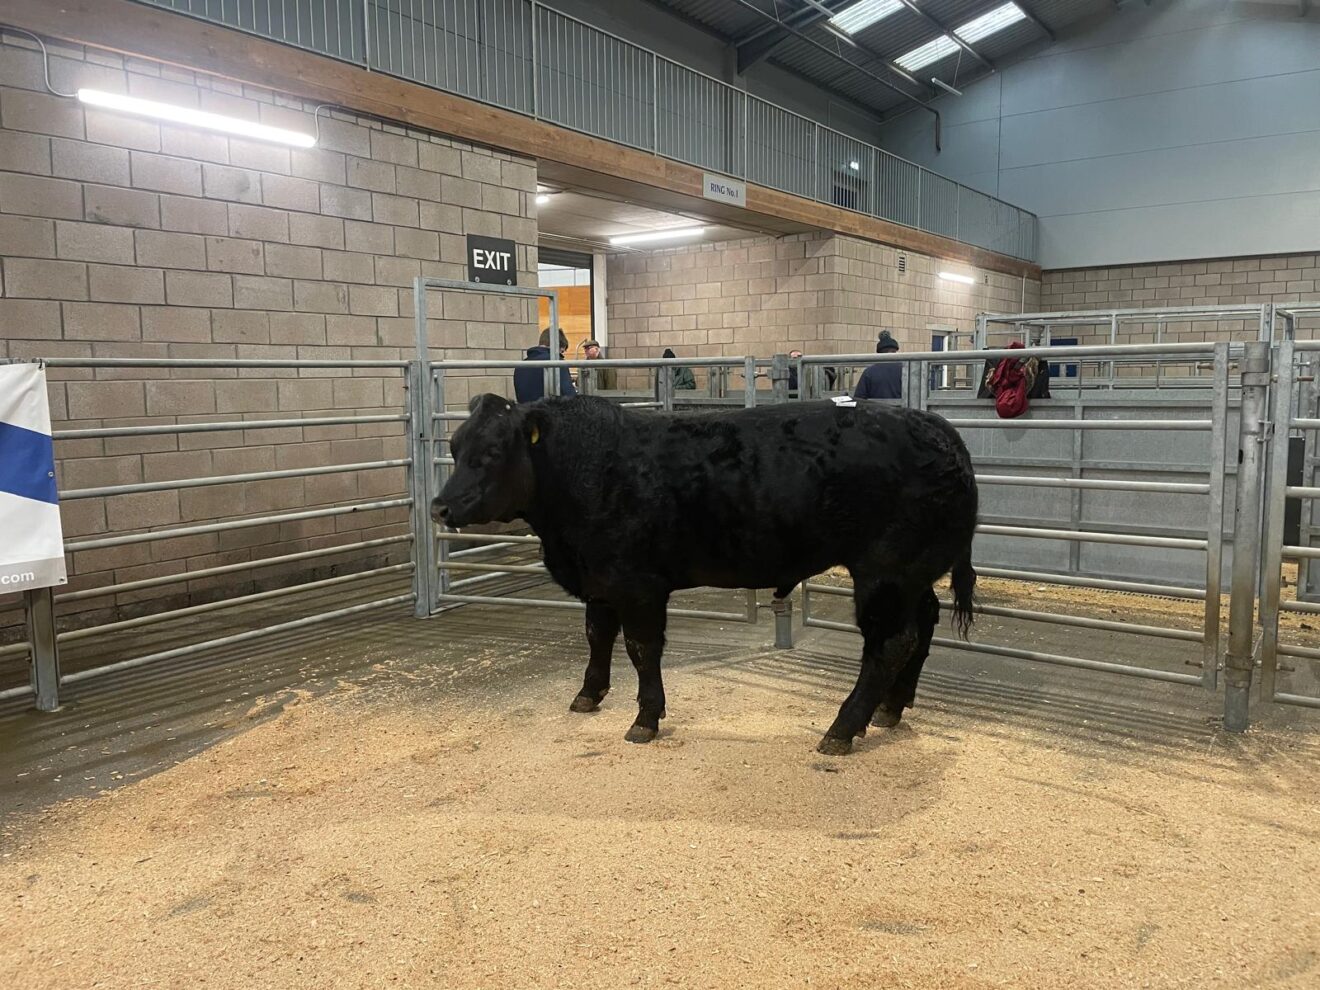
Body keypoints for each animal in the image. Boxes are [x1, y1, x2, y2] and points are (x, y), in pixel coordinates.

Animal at [431, 394, 978, 755]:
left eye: (492, 452)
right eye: (455, 447)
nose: (439, 506)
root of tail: (938, 428)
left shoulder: (637, 584)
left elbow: (641, 649)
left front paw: (645, 718)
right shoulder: (600, 581)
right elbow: (597, 635)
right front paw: (588, 694)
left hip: (884, 572)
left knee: (890, 643)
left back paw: (842, 729)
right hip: (912, 576)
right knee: (922, 627)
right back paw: (891, 708)